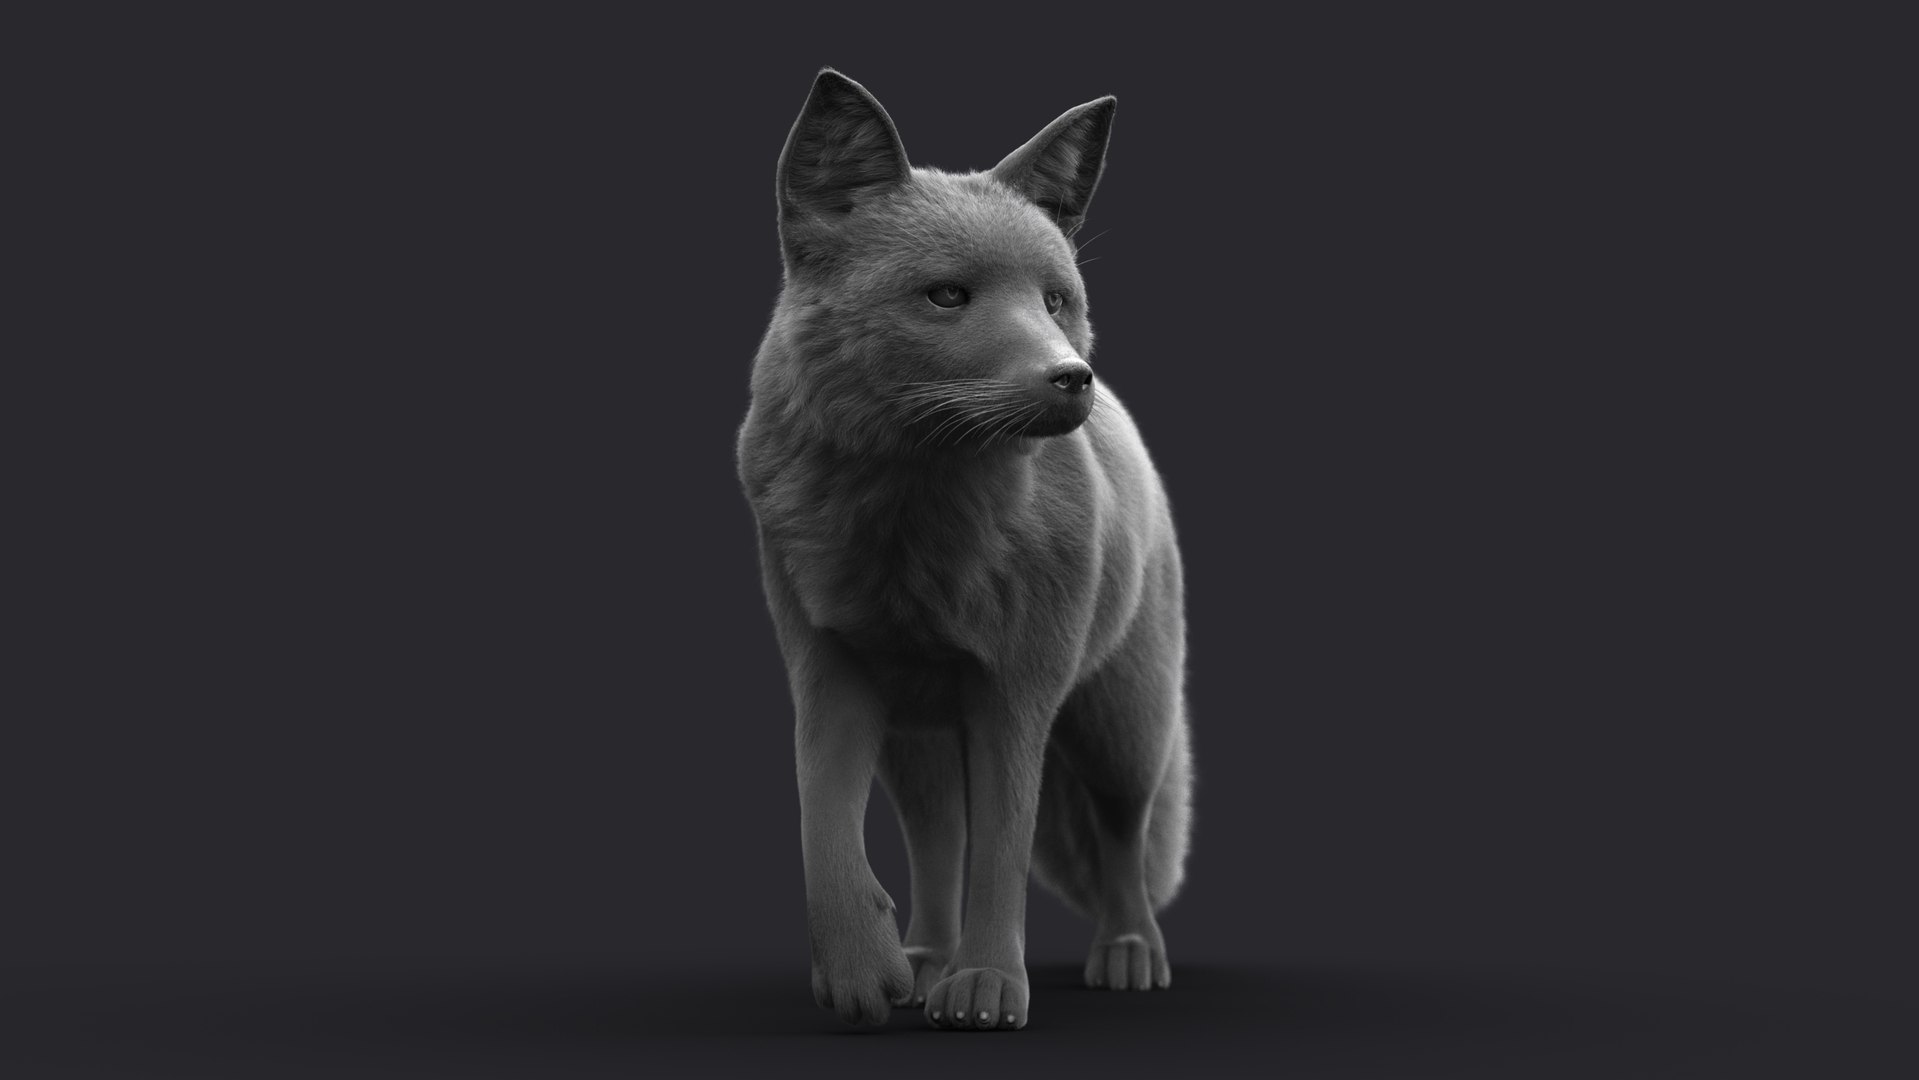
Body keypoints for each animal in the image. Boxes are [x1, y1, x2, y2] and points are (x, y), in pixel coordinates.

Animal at [737, 69, 1192, 1031]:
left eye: (1054, 300)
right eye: (947, 296)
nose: (1071, 378)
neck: (909, 533)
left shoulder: (1015, 694)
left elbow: (1004, 850)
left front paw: (986, 988)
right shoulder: (828, 671)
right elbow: (821, 820)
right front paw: (862, 973)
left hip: (1119, 728)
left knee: (1122, 840)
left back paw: (1128, 955)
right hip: (918, 739)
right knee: (938, 836)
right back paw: (924, 955)